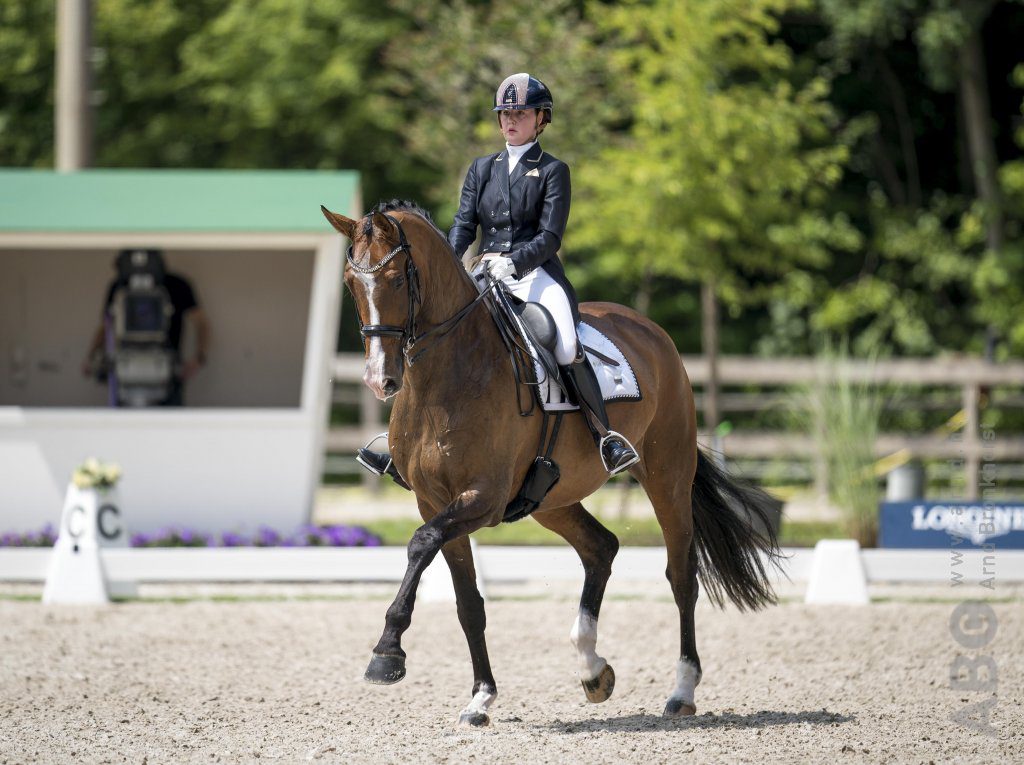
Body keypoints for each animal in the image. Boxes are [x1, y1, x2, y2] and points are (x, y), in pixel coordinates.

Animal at [321, 201, 782, 726]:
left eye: (397, 278)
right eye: (350, 283)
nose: (380, 380)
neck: (446, 377)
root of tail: (648, 329)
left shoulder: (482, 498)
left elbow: (419, 545)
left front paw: (386, 655)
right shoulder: (433, 502)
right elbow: (467, 603)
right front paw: (480, 698)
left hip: (667, 475)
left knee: (681, 573)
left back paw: (681, 691)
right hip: (551, 498)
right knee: (600, 547)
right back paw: (593, 671)